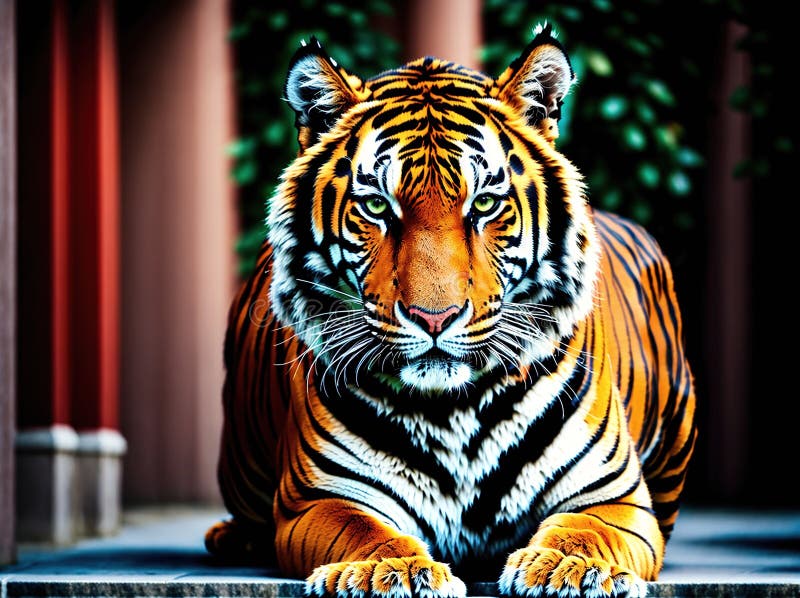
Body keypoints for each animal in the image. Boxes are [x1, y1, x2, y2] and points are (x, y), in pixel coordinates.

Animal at [206, 25, 696, 598]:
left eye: (484, 204)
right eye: (377, 206)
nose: (434, 319)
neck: (454, 411)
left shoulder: (614, 496)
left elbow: (585, 530)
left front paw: (570, 569)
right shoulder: (322, 498)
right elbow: (365, 531)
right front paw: (389, 571)